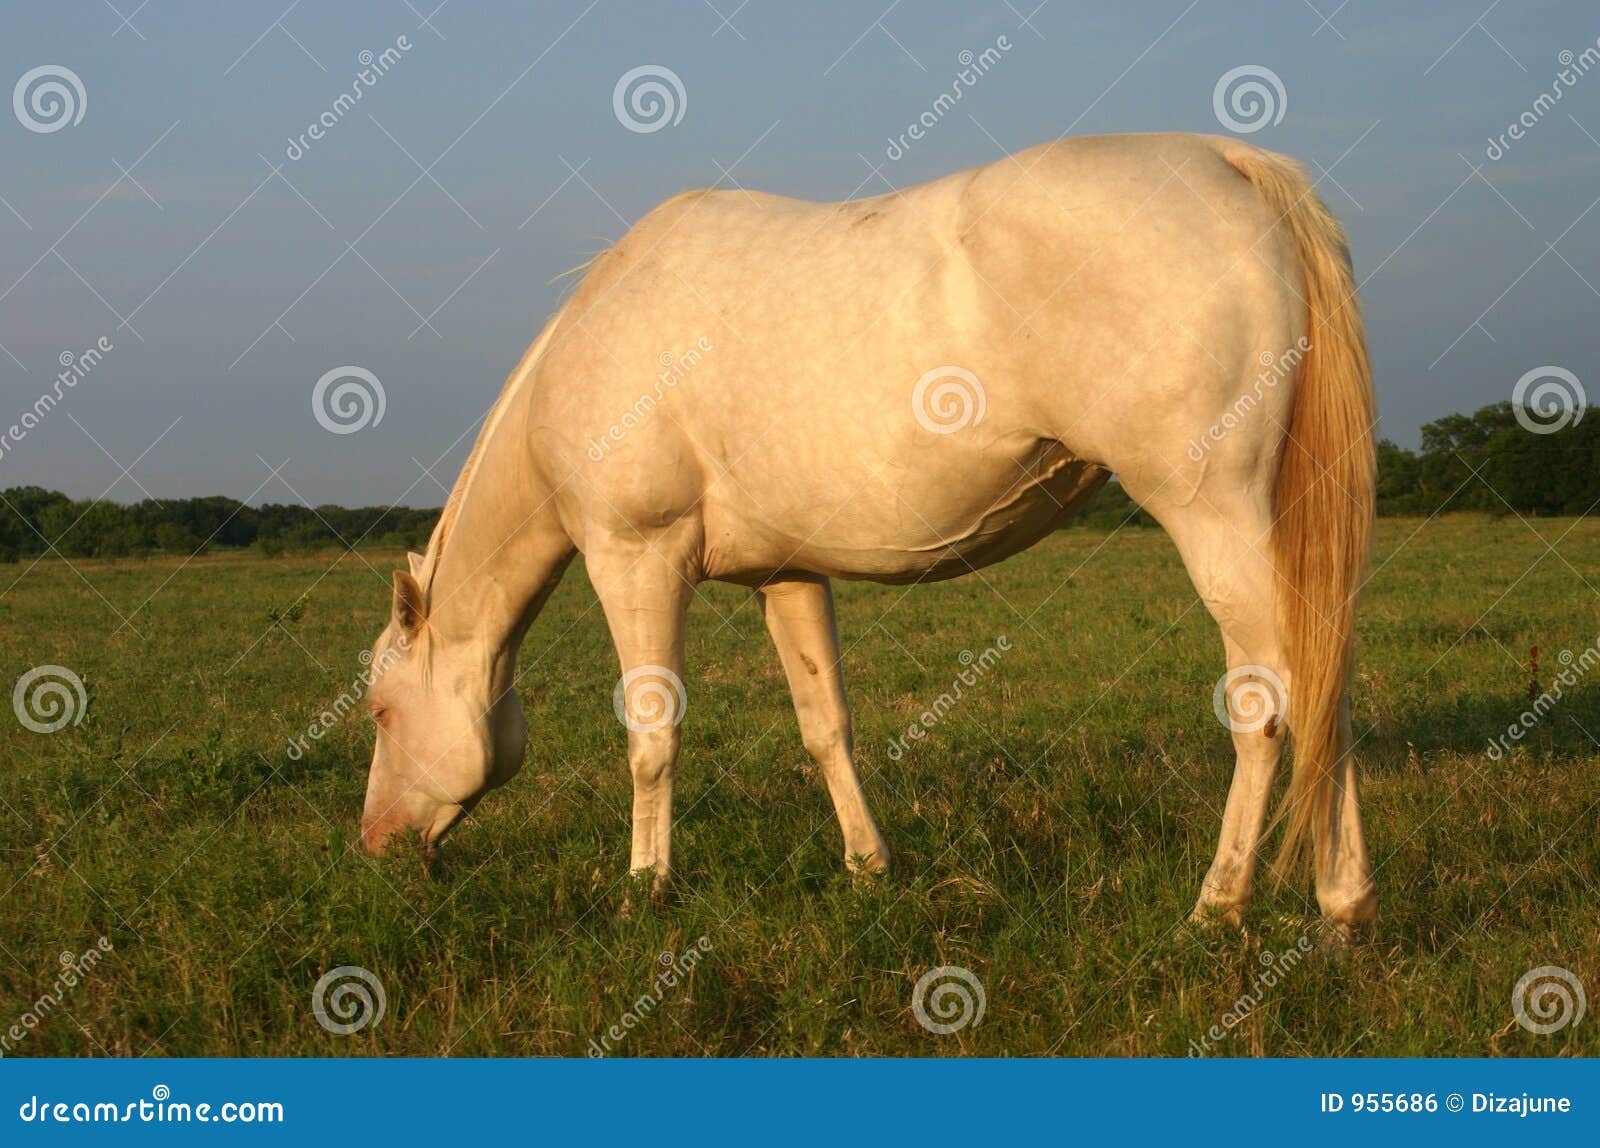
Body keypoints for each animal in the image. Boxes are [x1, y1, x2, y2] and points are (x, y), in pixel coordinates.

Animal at [358, 131, 1379, 934]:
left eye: (379, 712)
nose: (374, 846)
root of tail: (1229, 164)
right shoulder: (786, 575)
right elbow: (825, 726)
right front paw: (867, 869)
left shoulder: (633, 558)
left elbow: (651, 733)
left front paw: (644, 890)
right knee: (1324, 683)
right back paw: (1343, 907)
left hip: (1212, 514)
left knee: (1269, 701)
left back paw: (1220, 906)